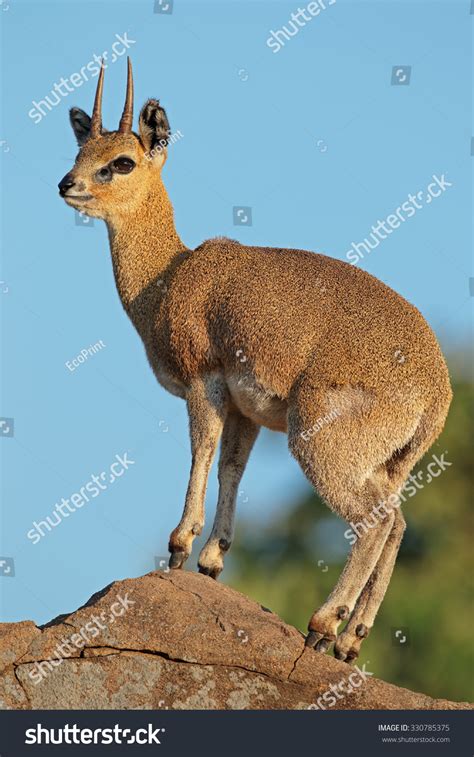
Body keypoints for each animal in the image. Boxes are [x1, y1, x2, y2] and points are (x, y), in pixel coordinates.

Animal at [58, 60, 452, 663]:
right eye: (81, 149)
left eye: (121, 160)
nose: (66, 184)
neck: (168, 278)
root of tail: (437, 391)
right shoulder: (249, 412)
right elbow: (232, 467)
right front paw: (213, 559)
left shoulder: (205, 383)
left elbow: (201, 451)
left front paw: (179, 547)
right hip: (386, 464)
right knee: (399, 522)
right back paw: (350, 639)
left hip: (321, 445)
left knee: (375, 522)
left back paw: (322, 625)